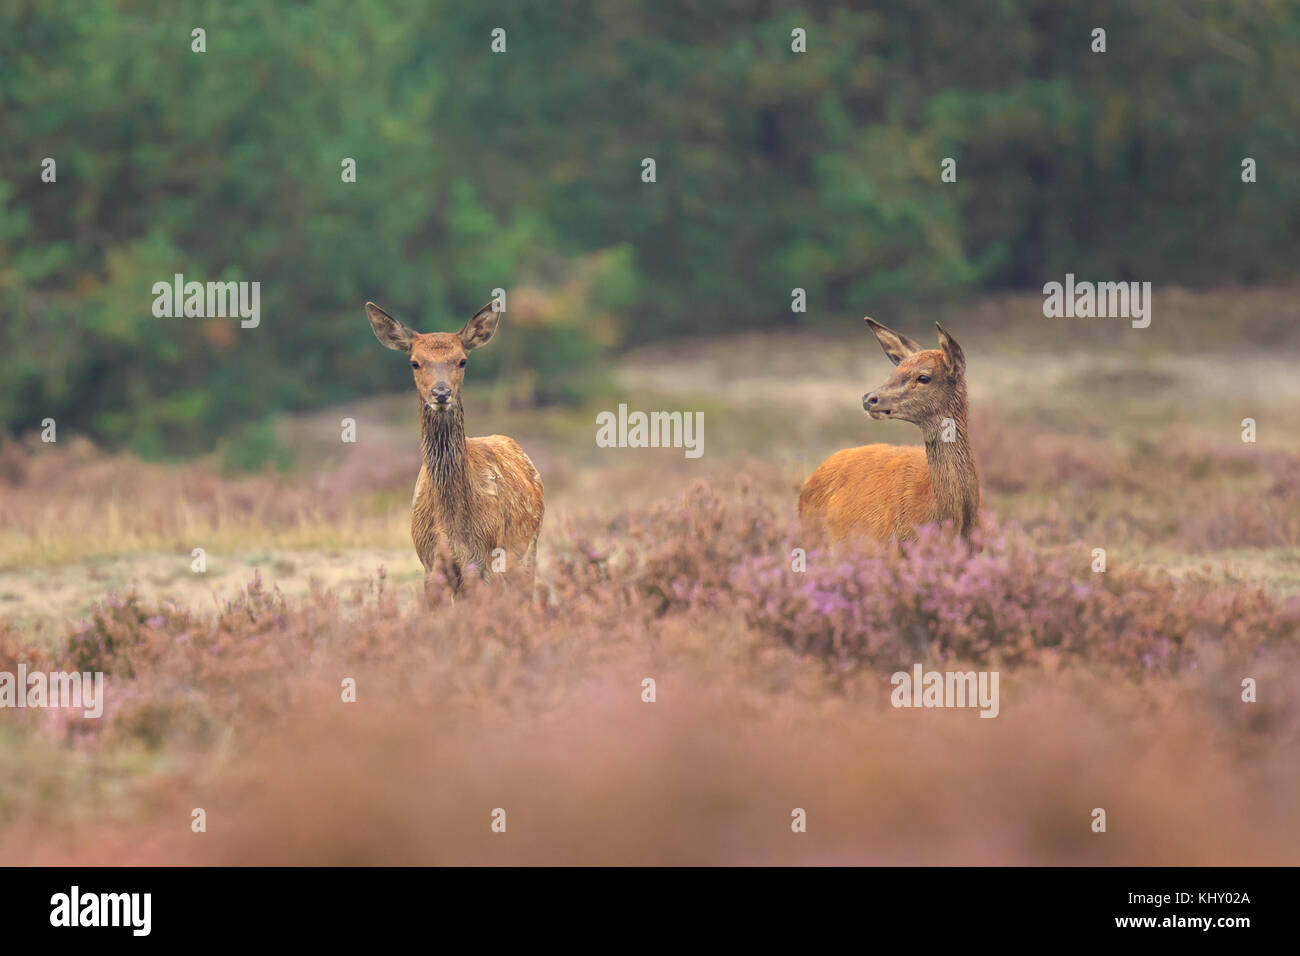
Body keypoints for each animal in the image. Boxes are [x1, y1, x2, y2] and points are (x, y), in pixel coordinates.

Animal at [365, 300, 544, 601]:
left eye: (462, 360)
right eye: (415, 362)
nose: (441, 392)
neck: (452, 527)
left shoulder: (484, 561)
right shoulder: (430, 563)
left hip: (527, 551)